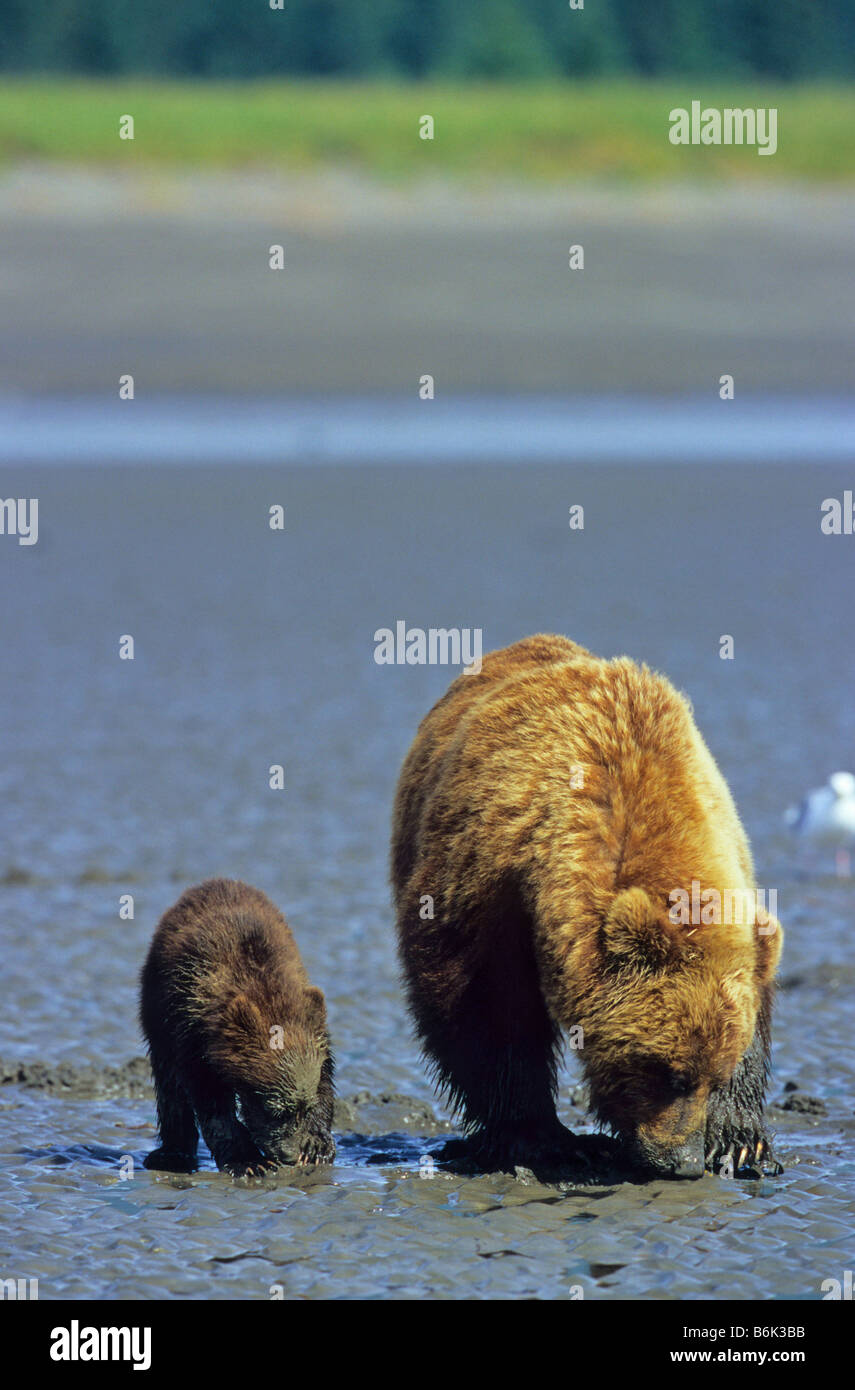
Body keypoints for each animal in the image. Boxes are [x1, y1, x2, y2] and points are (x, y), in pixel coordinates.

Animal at [140, 878, 335, 1177]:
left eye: (302, 1108)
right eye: (273, 1109)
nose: (289, 1155)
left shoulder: (308, 1017)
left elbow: (325, 1073)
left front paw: (316, 1145)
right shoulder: (190, 1032)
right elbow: (211, 1102)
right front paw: (250, 1161)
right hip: (156, 1012)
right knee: (169, 1086)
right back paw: (171, 1154)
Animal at [391, 634, 783, 1180]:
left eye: (711, 1075)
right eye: (666, 1072)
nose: (682, 1162)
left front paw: (738, 1144)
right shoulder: (489, 879)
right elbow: (484, 1007)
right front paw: (546, 1139)